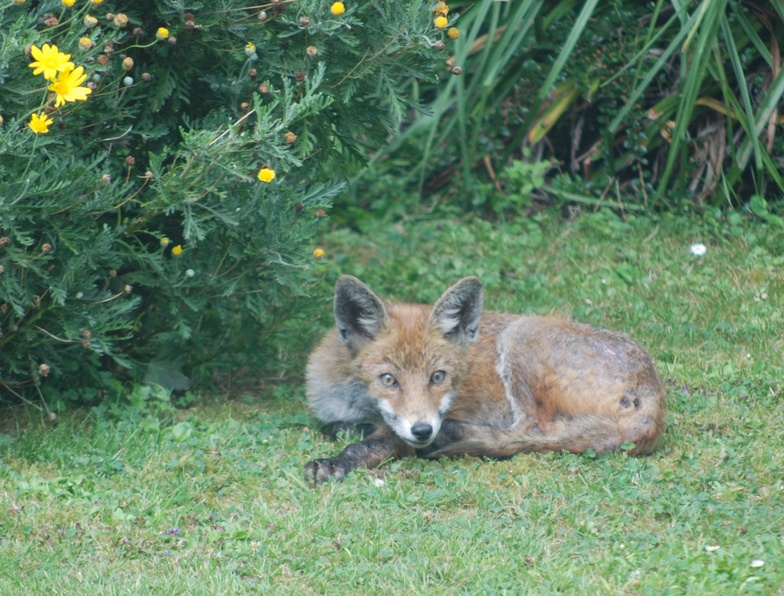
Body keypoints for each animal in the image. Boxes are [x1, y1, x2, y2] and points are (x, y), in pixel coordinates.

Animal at [304, 278, 664, 482]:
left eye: (438, 377)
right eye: (389, 379)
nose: (423, 431)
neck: (356, 402)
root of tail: (654, 393)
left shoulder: (407, 432)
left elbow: (373, 444)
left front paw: (336, 462)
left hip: (521, 337)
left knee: (531, 431)